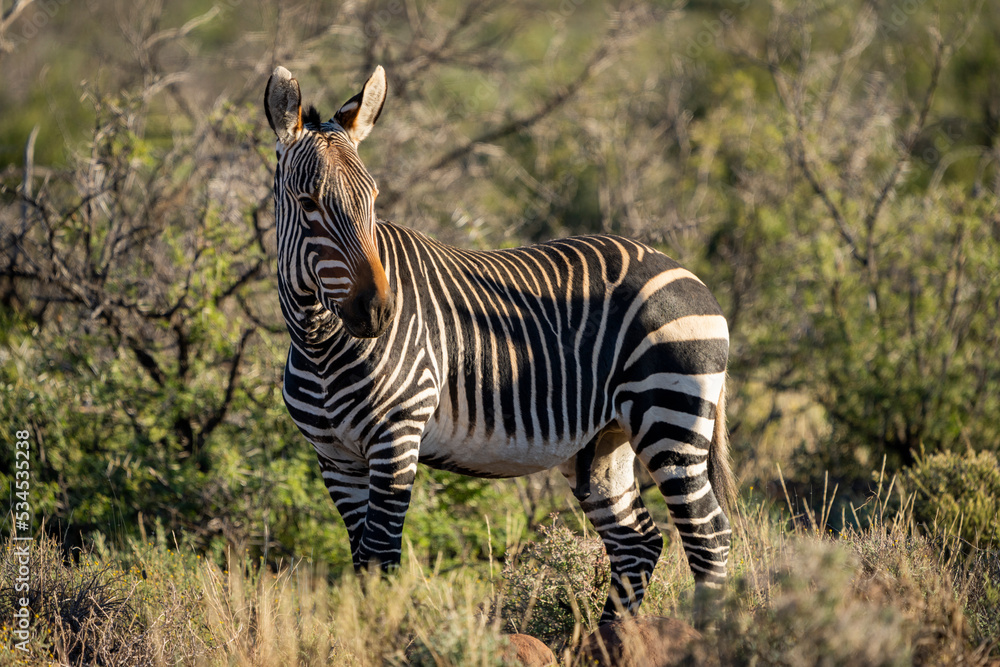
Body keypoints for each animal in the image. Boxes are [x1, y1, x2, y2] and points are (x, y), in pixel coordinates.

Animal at [264, 64, 736, 624]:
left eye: (373, 199)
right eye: (307, 202)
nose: (379, 311)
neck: (319, 344)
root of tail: (685, 272)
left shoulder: (396, 438)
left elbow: (381, 561)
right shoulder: (335, 458)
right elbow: (362, 566)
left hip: (669, 417)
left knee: (709, 538)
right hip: (602, 440)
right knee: (638, 541)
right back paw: (608, 639)